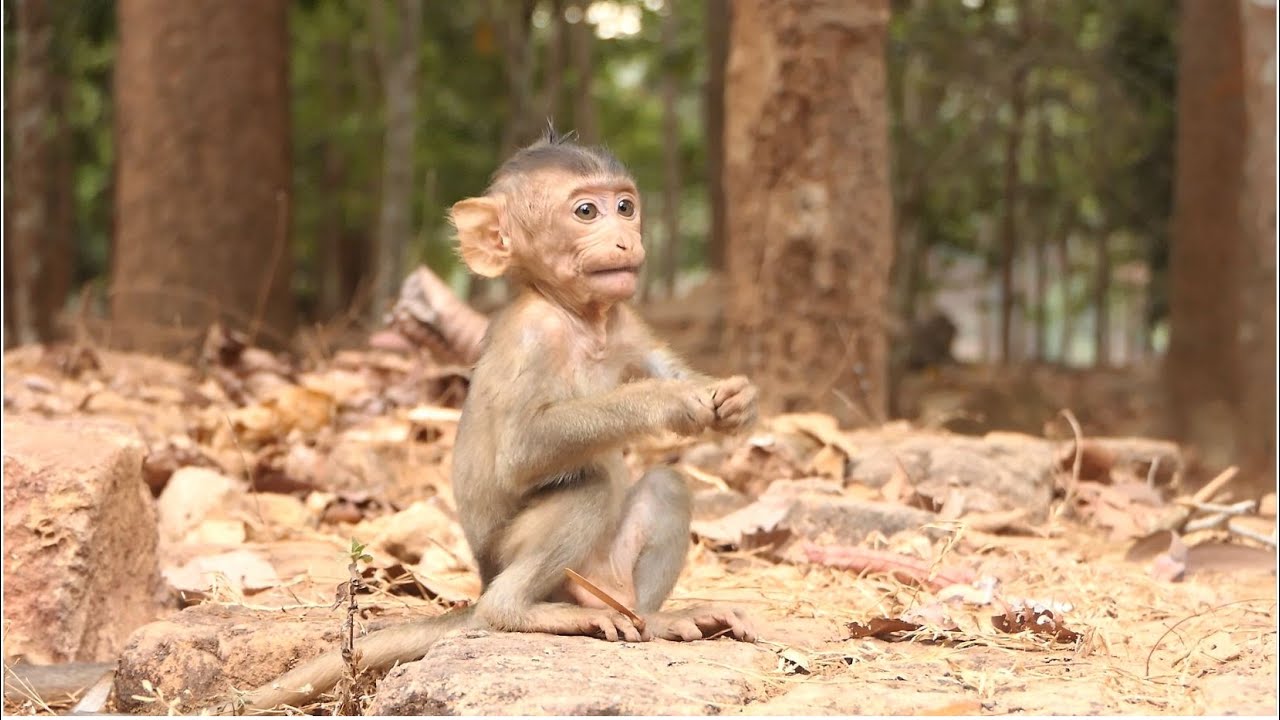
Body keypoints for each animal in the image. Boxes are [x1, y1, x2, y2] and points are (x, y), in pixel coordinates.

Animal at [183, 127, 758, 714]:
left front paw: (733, 401)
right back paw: (519, 612)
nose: (625, 238)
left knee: (666, 486)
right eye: (586, 212)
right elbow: (524, 449)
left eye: (625, 207)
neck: (580, 319)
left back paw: (651, 617)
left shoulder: (625, 324)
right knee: (588, 488)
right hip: (515, 562)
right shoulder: (532, 337)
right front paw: (671, 399)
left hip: (604, 574)